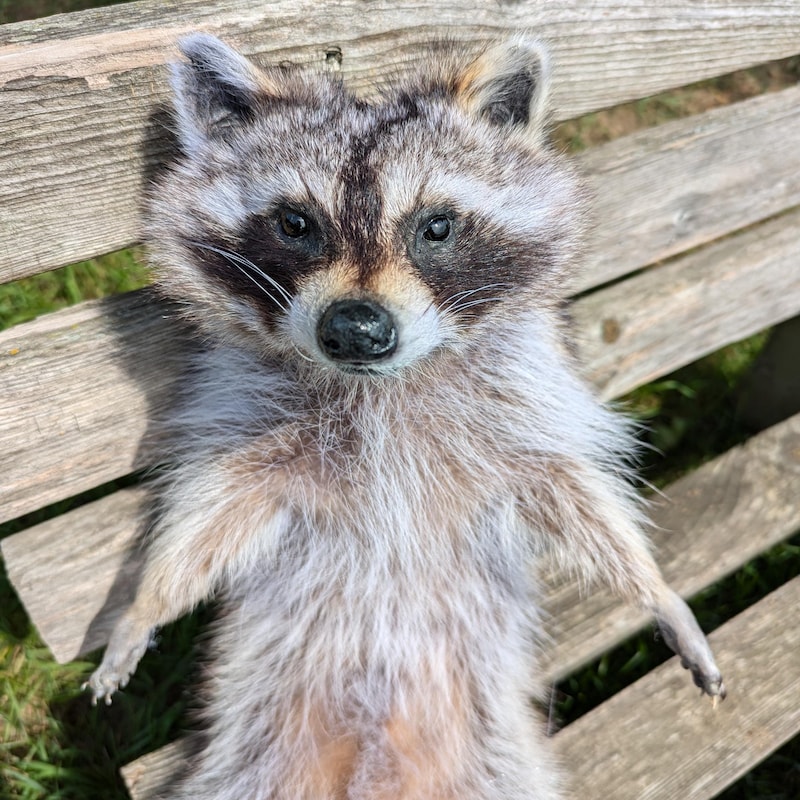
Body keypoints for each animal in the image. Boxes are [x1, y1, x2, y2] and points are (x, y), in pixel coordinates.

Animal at [86, 33, 725, 799]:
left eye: (436, 226)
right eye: (296, 224)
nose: (357, 330)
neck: (380, 388)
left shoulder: (523, 411)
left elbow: (578, 497)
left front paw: (659, 592)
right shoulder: (250, 427)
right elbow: (209, 517)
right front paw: (145, 605)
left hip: (496, 761)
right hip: (252, 757)